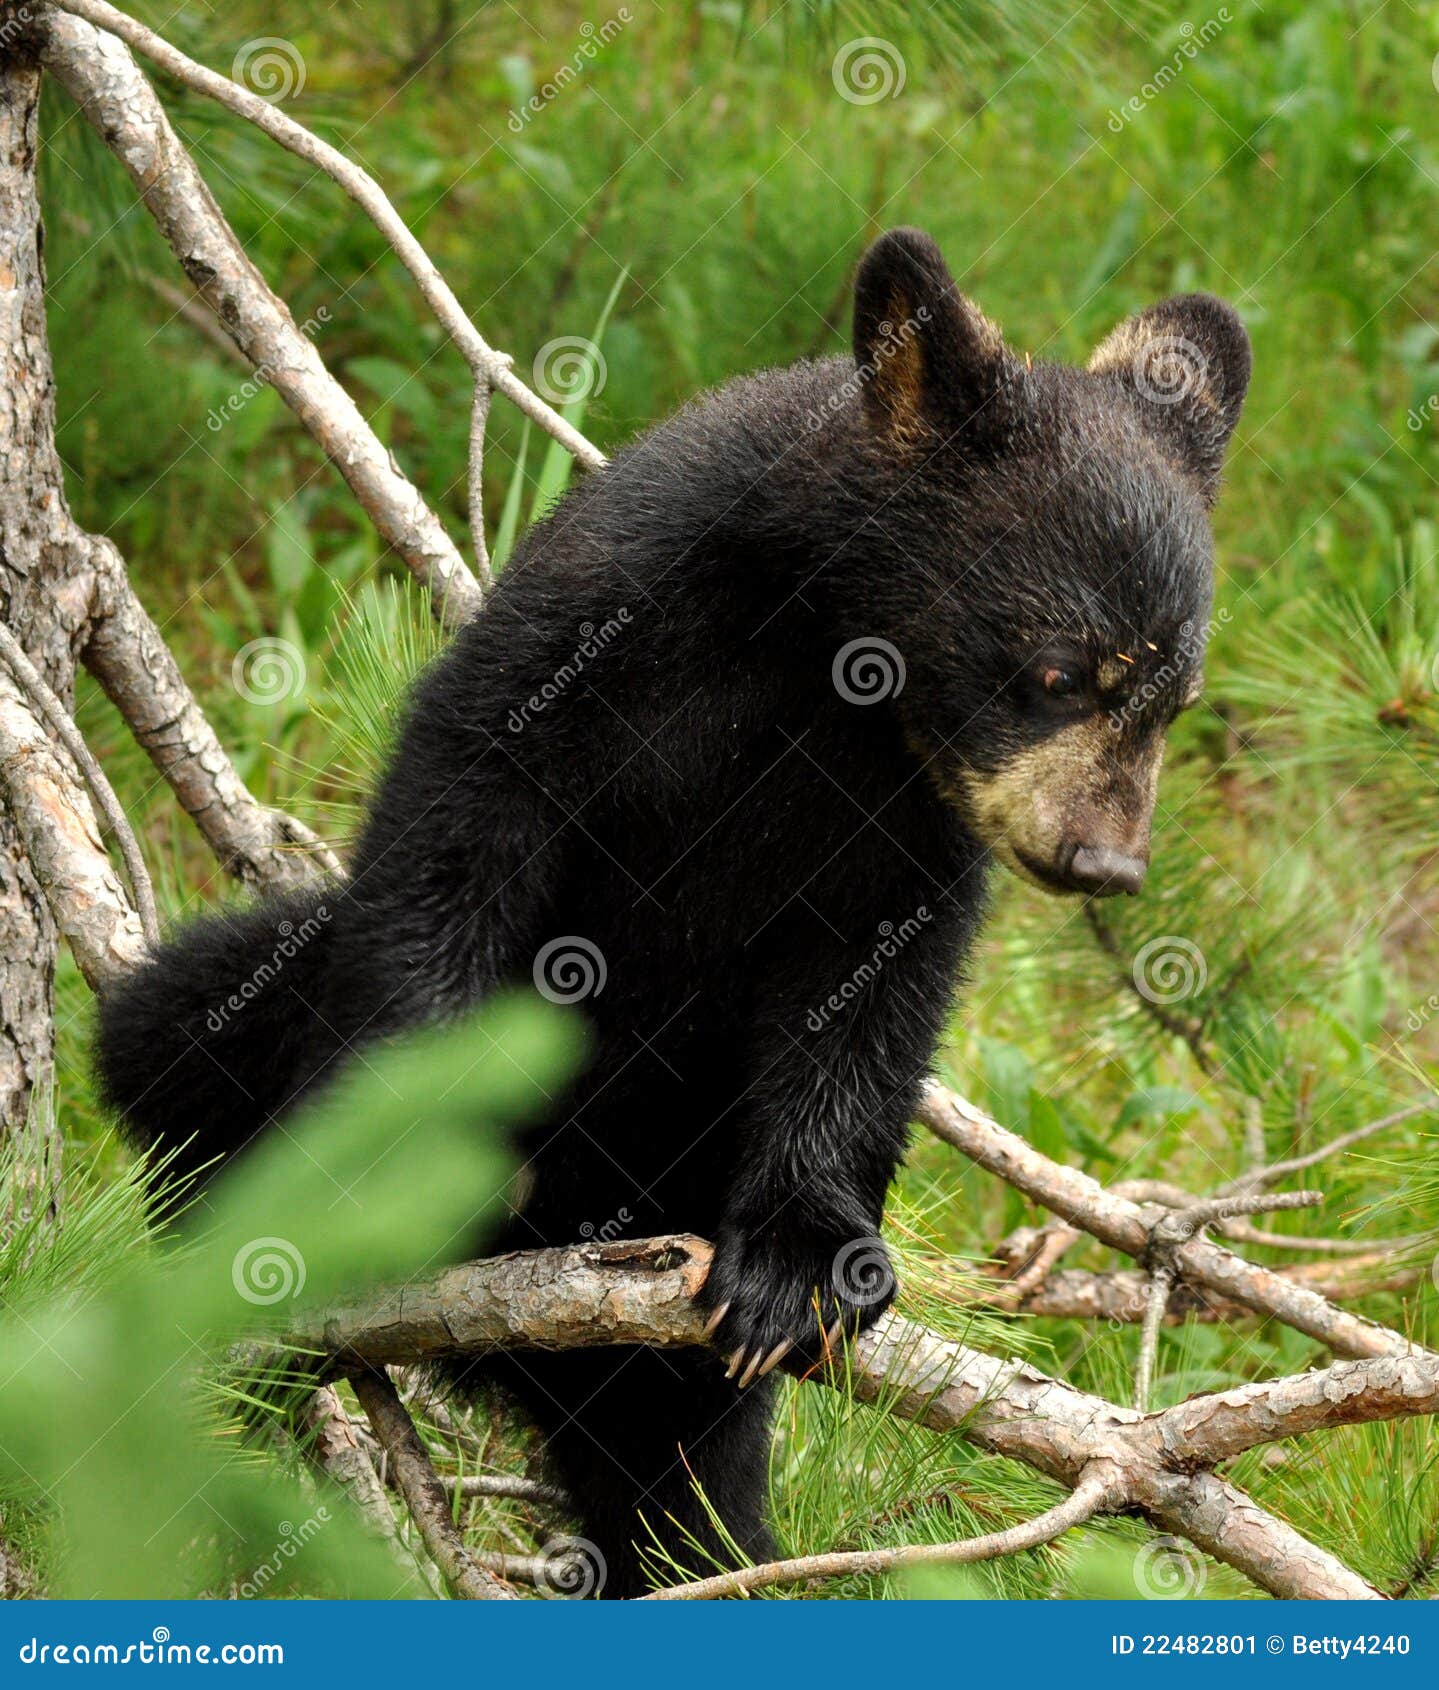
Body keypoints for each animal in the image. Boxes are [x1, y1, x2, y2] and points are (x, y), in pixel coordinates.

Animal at [96, 228, 1250, 1598]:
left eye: (1174, 700)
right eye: (1060, 670)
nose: (1102, 861)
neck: (831, 665)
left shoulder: (909, 821)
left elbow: (872, 998)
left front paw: (800, 1264)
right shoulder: (607, 619)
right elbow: (460, 825)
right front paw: (407, 1153)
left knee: (672, 1482)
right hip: (247, 989)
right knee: (166, 1028)